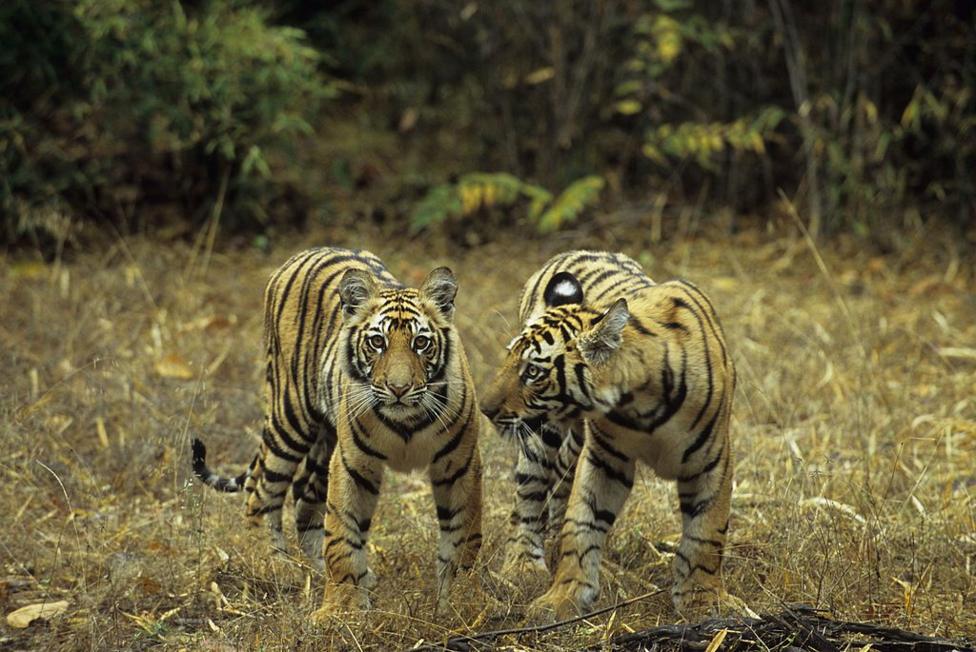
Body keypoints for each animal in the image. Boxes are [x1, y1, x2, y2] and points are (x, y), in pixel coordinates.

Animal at [190, 247, 483, 618]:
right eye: (377, 342)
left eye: (421, 343)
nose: (399, 388)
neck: (407, 420)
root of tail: (304, 252)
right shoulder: (353, 463)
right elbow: (343, 535)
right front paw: (339, 610)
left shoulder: (459, 464)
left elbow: (463, 537)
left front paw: (461, 604)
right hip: (291, 417)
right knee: (262, 493)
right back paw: (273, 564)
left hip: (325, 437)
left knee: (304, 498)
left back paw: (321, 568)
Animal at [481, 250, 735, 619]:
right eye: (509, 359)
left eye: (533, 372)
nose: (484, 408)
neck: (640, 404)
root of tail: (570, 251)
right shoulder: (604, 458)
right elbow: (581, 525)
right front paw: (563, 597)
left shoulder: (710, 461)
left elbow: (706, 533)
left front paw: (704, 600)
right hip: (540, 435)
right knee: (528, 496)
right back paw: (523, 566)